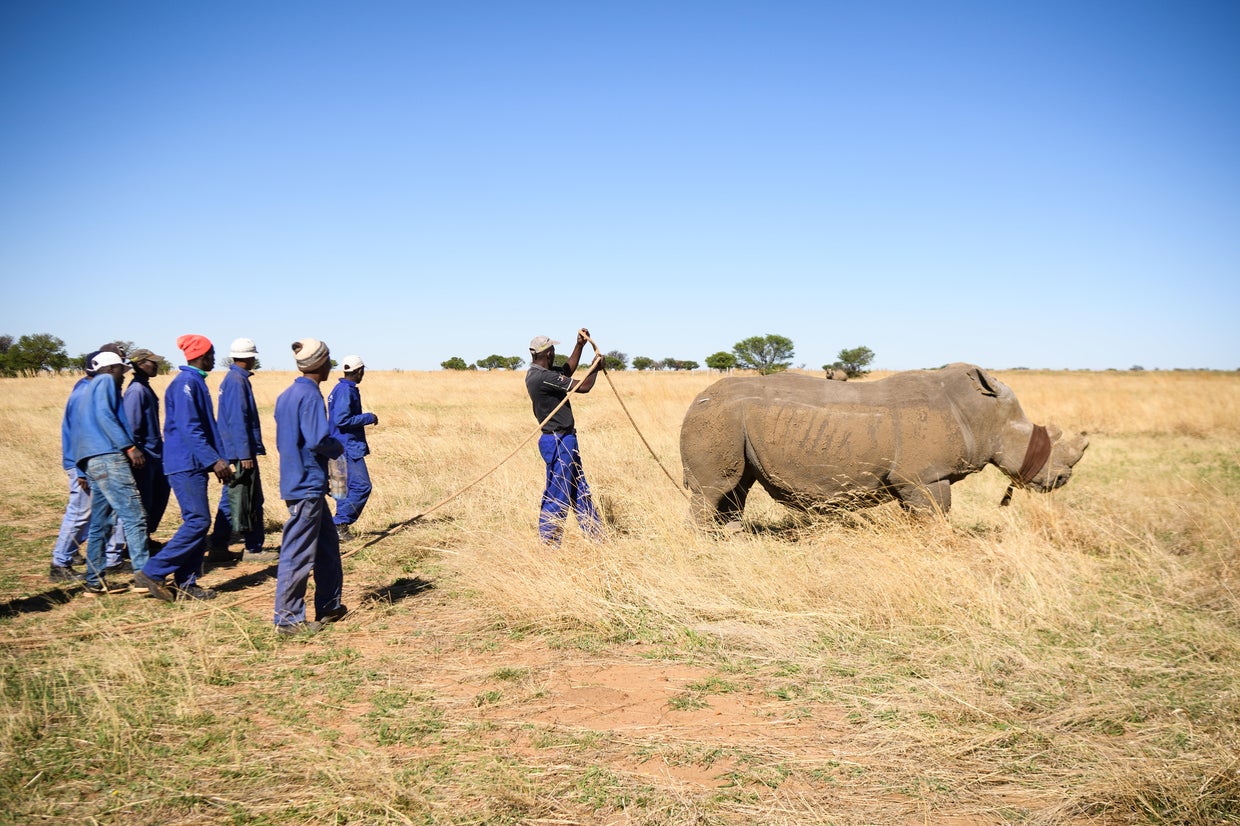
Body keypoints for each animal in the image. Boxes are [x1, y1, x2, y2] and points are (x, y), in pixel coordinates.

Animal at [679, 363, 1088, 525]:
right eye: (1037, 438)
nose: (1062, 480)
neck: (981, 414)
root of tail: (696, 399)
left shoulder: (915, 480)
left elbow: (921, 517)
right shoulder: (925, 477)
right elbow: (938, 517)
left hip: (731, 423)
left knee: (737, 488)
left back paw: (733, 540)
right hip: (716, 419)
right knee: (713, 489)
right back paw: (707, 545)